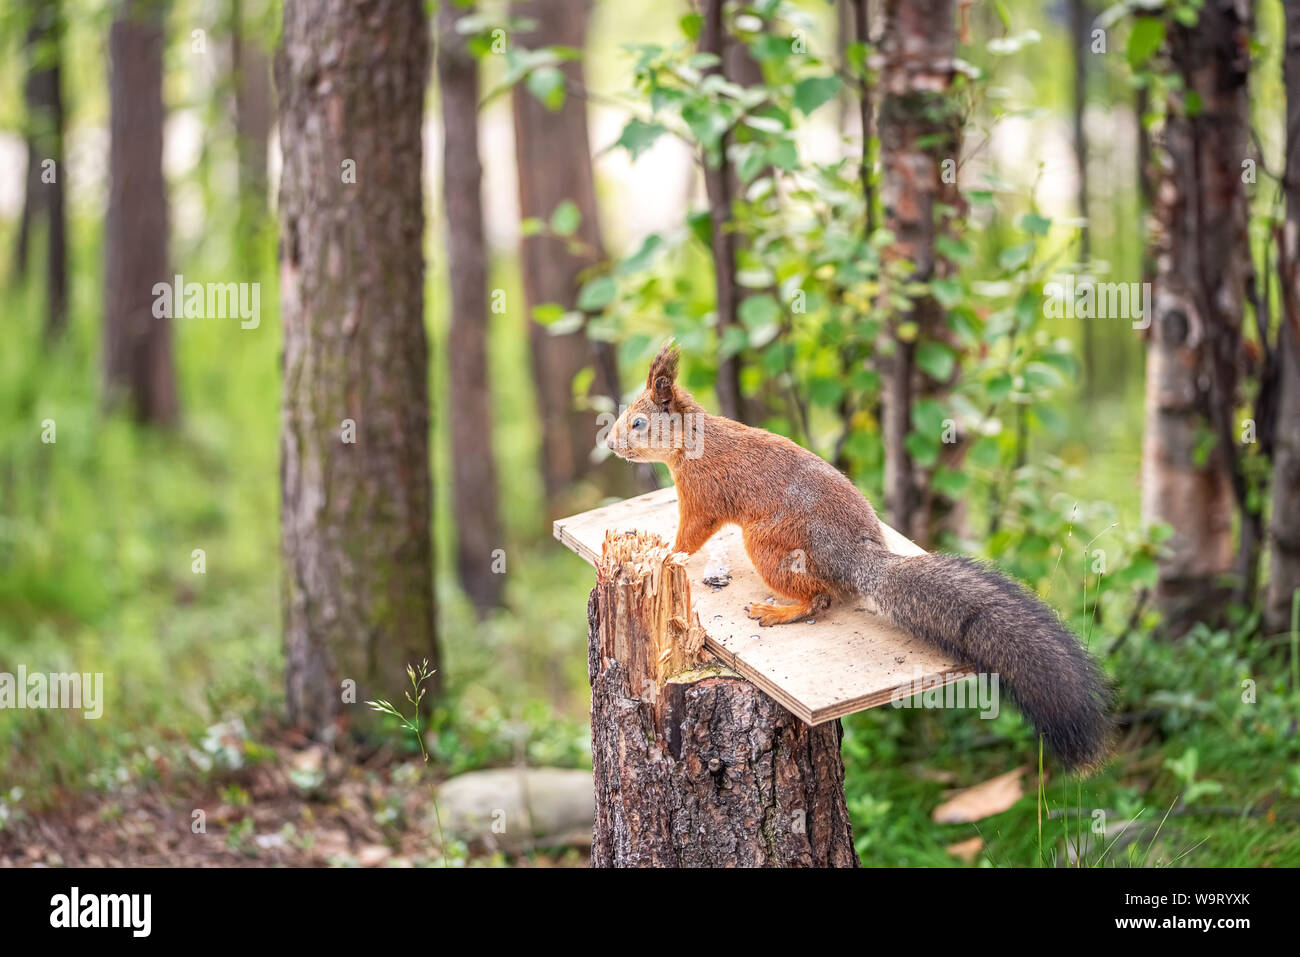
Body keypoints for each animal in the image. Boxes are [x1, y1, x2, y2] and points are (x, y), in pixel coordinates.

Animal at [605, 342, 1113, 775]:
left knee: (818, 599)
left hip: (769, 544)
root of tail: (857, 559)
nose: (610, 445)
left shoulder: (703, 493)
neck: (693, 441)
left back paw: (777, 610)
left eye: (638, 423)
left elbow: (691, 534)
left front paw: (667, 550)